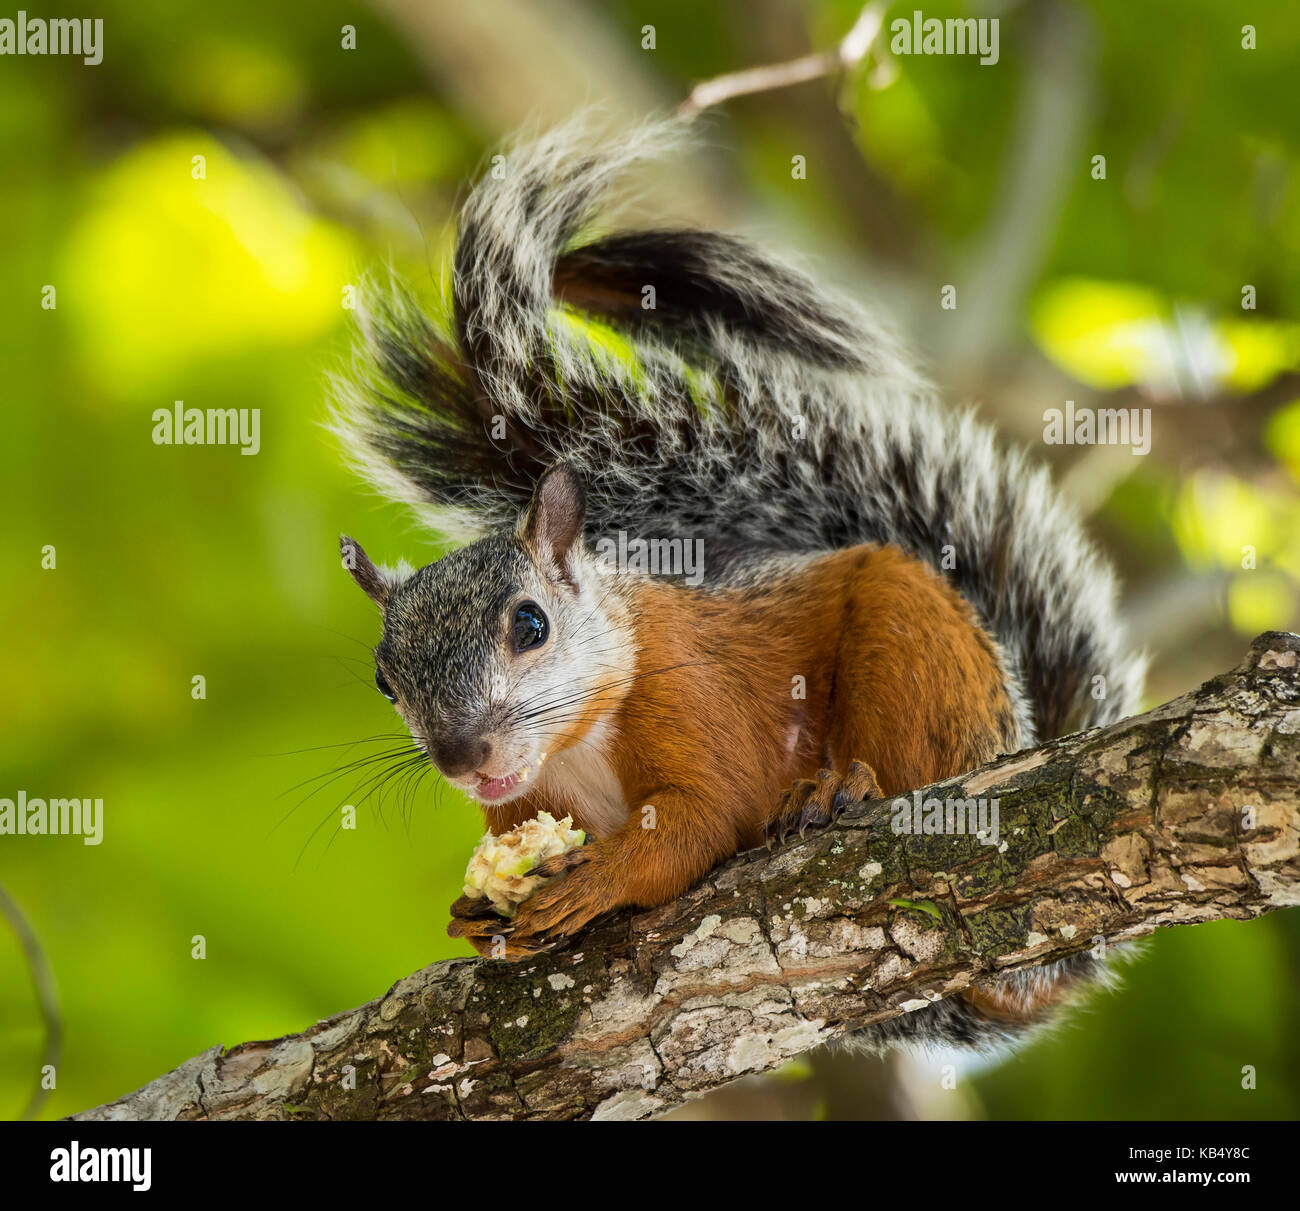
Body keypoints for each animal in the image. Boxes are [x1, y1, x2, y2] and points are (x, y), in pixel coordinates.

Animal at [332, 118, 1145, 1052]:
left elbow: (699, 820)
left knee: (906, 766)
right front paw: (472, 914)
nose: (464, 759)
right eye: (384, 680)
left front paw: (600, 875)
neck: (575, 744)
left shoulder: (690, 691)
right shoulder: (519, 803)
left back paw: (838, 787)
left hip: (916, 654)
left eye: (531, 624)